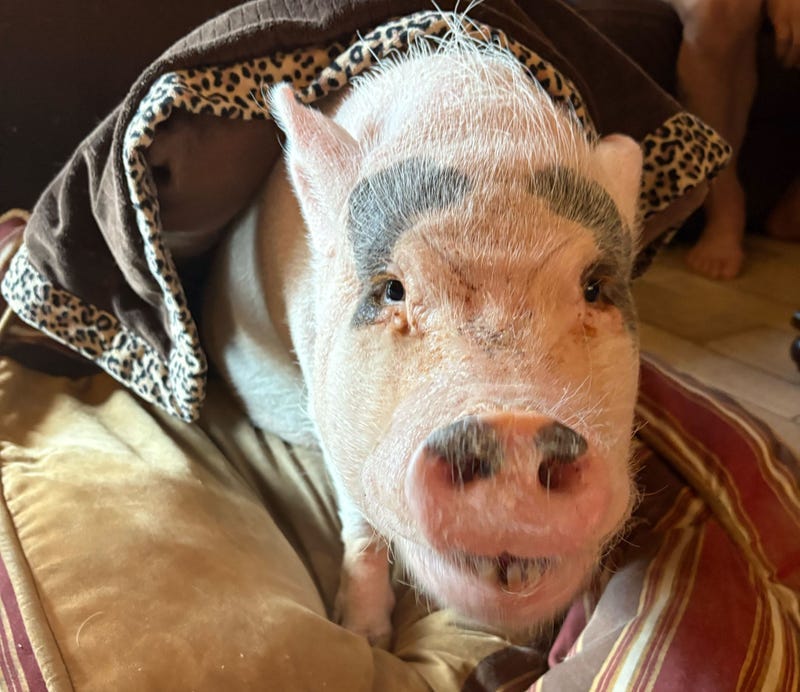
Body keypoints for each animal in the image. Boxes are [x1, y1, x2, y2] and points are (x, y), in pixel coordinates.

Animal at [203, 24, 643, 647]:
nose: (513, 425)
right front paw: (366, 638)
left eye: (593, 288)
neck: (473, 129)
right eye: (393, 289)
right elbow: (360, 525)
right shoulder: (326, 408)